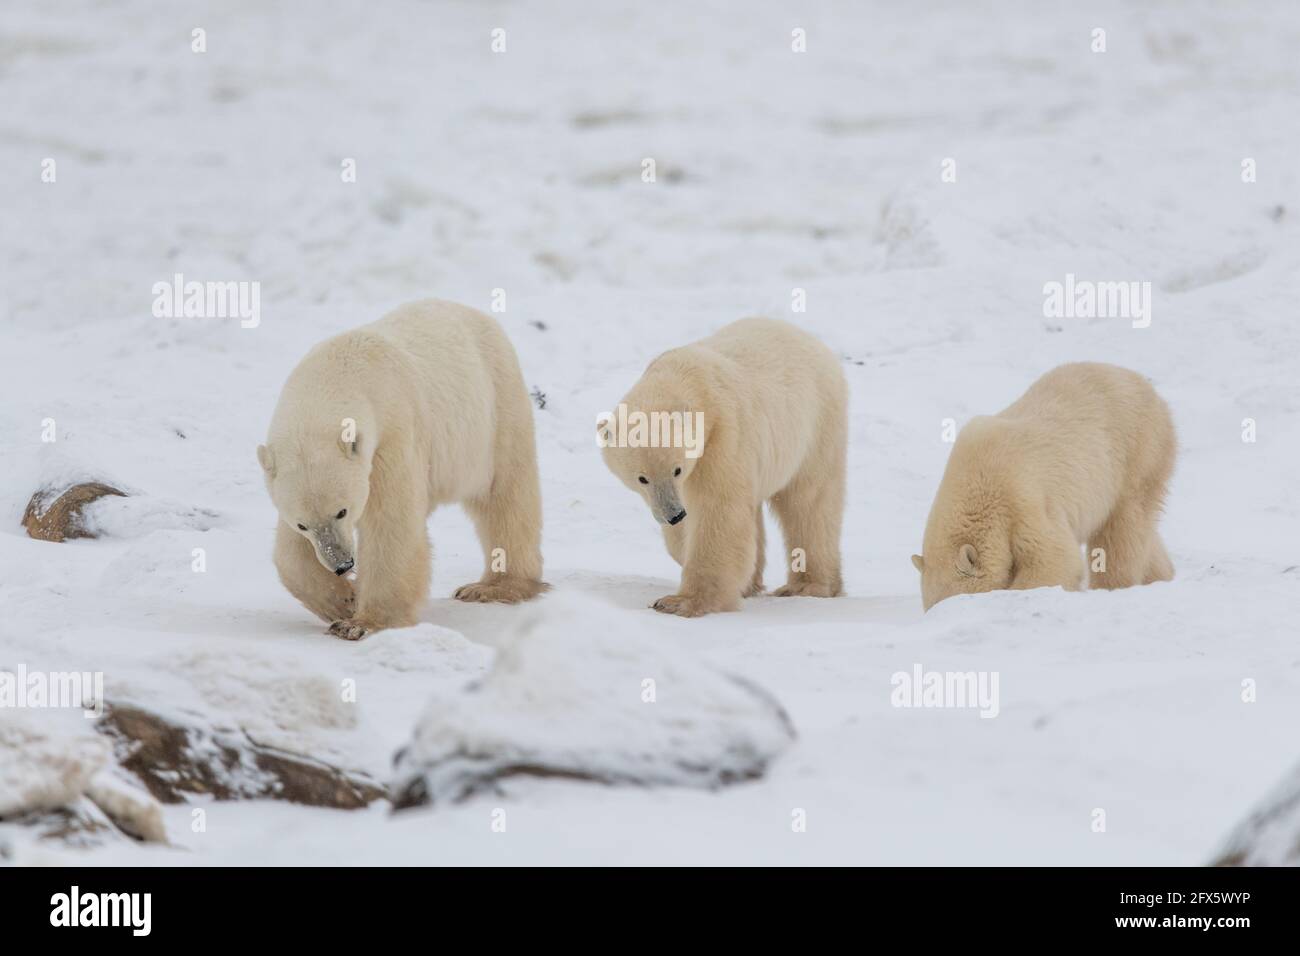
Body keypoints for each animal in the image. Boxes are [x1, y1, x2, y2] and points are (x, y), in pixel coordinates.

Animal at [257, 298, 548, 640]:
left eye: (342, 511)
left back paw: (495, 587)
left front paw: (361, 623)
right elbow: (291, 555)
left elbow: (391, 525)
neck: (339, 372)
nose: (342, 565)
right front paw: (343, 601)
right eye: (303, 524)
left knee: (506, 495)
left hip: (494, 409)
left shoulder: (392, 433)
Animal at [599, 317, 848, 617]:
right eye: (641, 478)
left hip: (816, 426)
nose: (674, 515)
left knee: (809, 502)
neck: (688, 379)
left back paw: (809, 585)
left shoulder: (724, 435)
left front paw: (680, 602)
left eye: (677, 470)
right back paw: (753, 580)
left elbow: (718, 510)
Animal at [911, 362, 1176, 611]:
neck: (976, 482)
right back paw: (1163, 576)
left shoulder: (1021, 500)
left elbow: (1054, 559)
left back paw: (1113, 585)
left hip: (1136, 453)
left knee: (1121, 529)